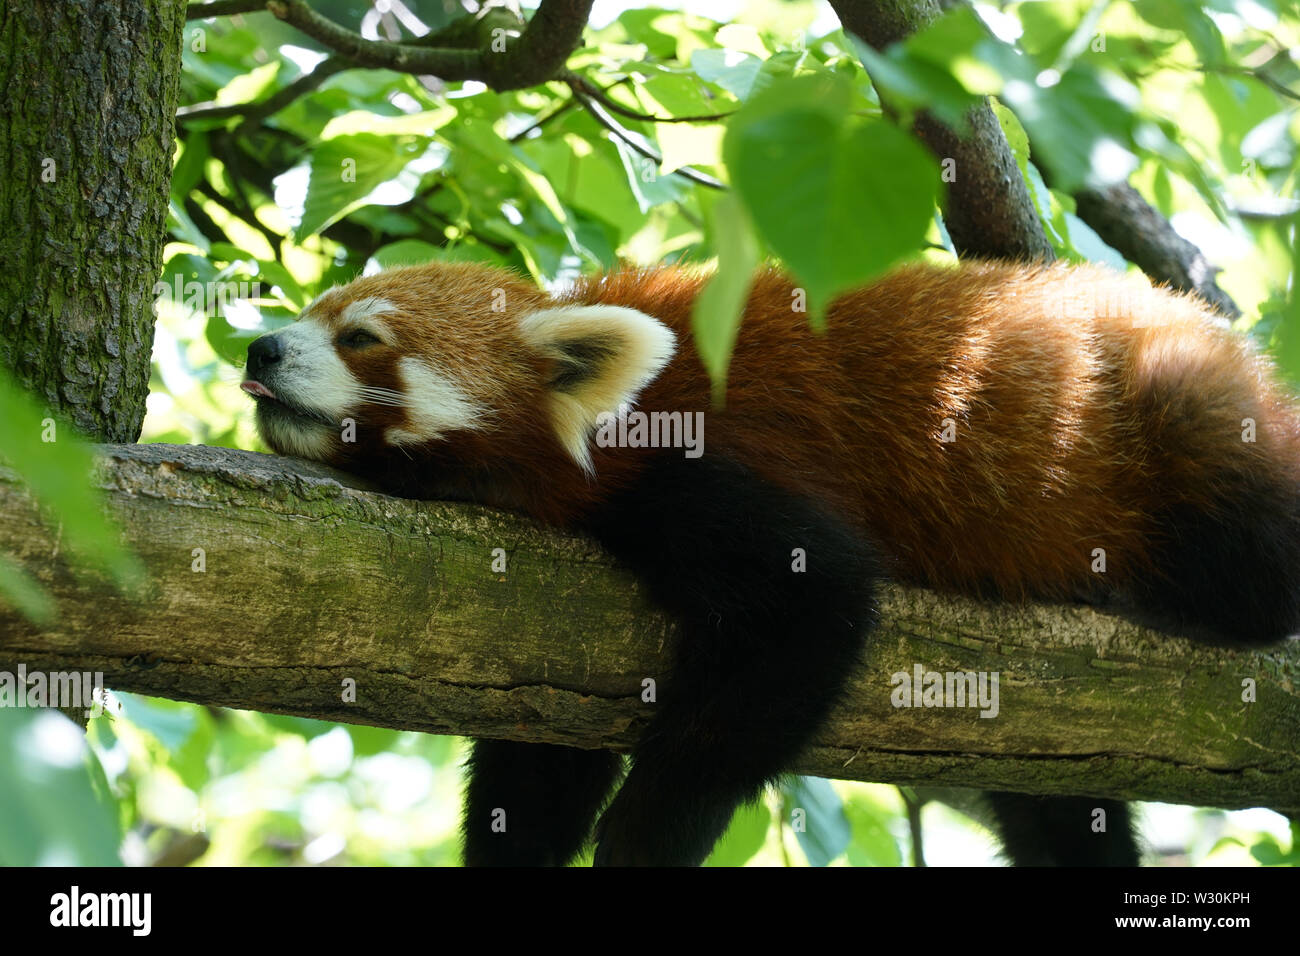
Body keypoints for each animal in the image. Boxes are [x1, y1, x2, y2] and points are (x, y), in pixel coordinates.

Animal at [241, 258, 1300, 866]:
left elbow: (807, 621)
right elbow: (538, 754)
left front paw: (641, 843)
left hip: (1181, 416)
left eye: (361, 336)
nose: (258, 347)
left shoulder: (704, 468)